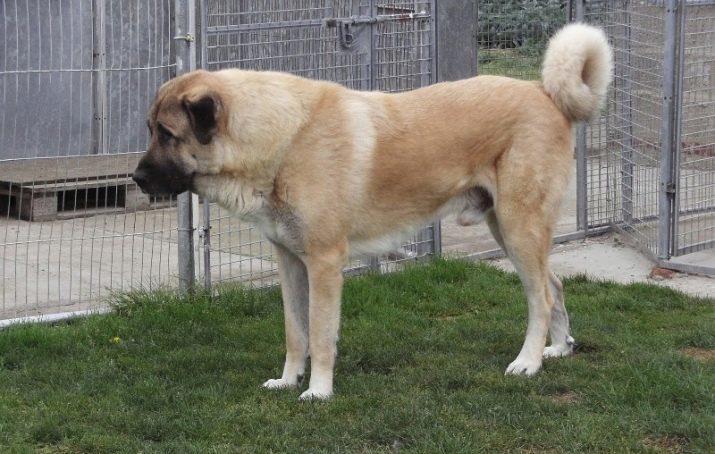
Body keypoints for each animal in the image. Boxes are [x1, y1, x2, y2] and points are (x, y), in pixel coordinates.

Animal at [134, 23, 616, 400]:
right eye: (151, 129)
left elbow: (320, 334)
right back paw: (559, 349)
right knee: (555, 286)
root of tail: (545, 93)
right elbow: (295, 332)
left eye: (167, 133)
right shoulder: (290, 261)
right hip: (511, 230)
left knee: (542, 298)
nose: (136, 179)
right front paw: (288, 381)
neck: (281, 137)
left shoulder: (325, 263)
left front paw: (319, 391)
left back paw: (529, 363)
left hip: (518, 227)